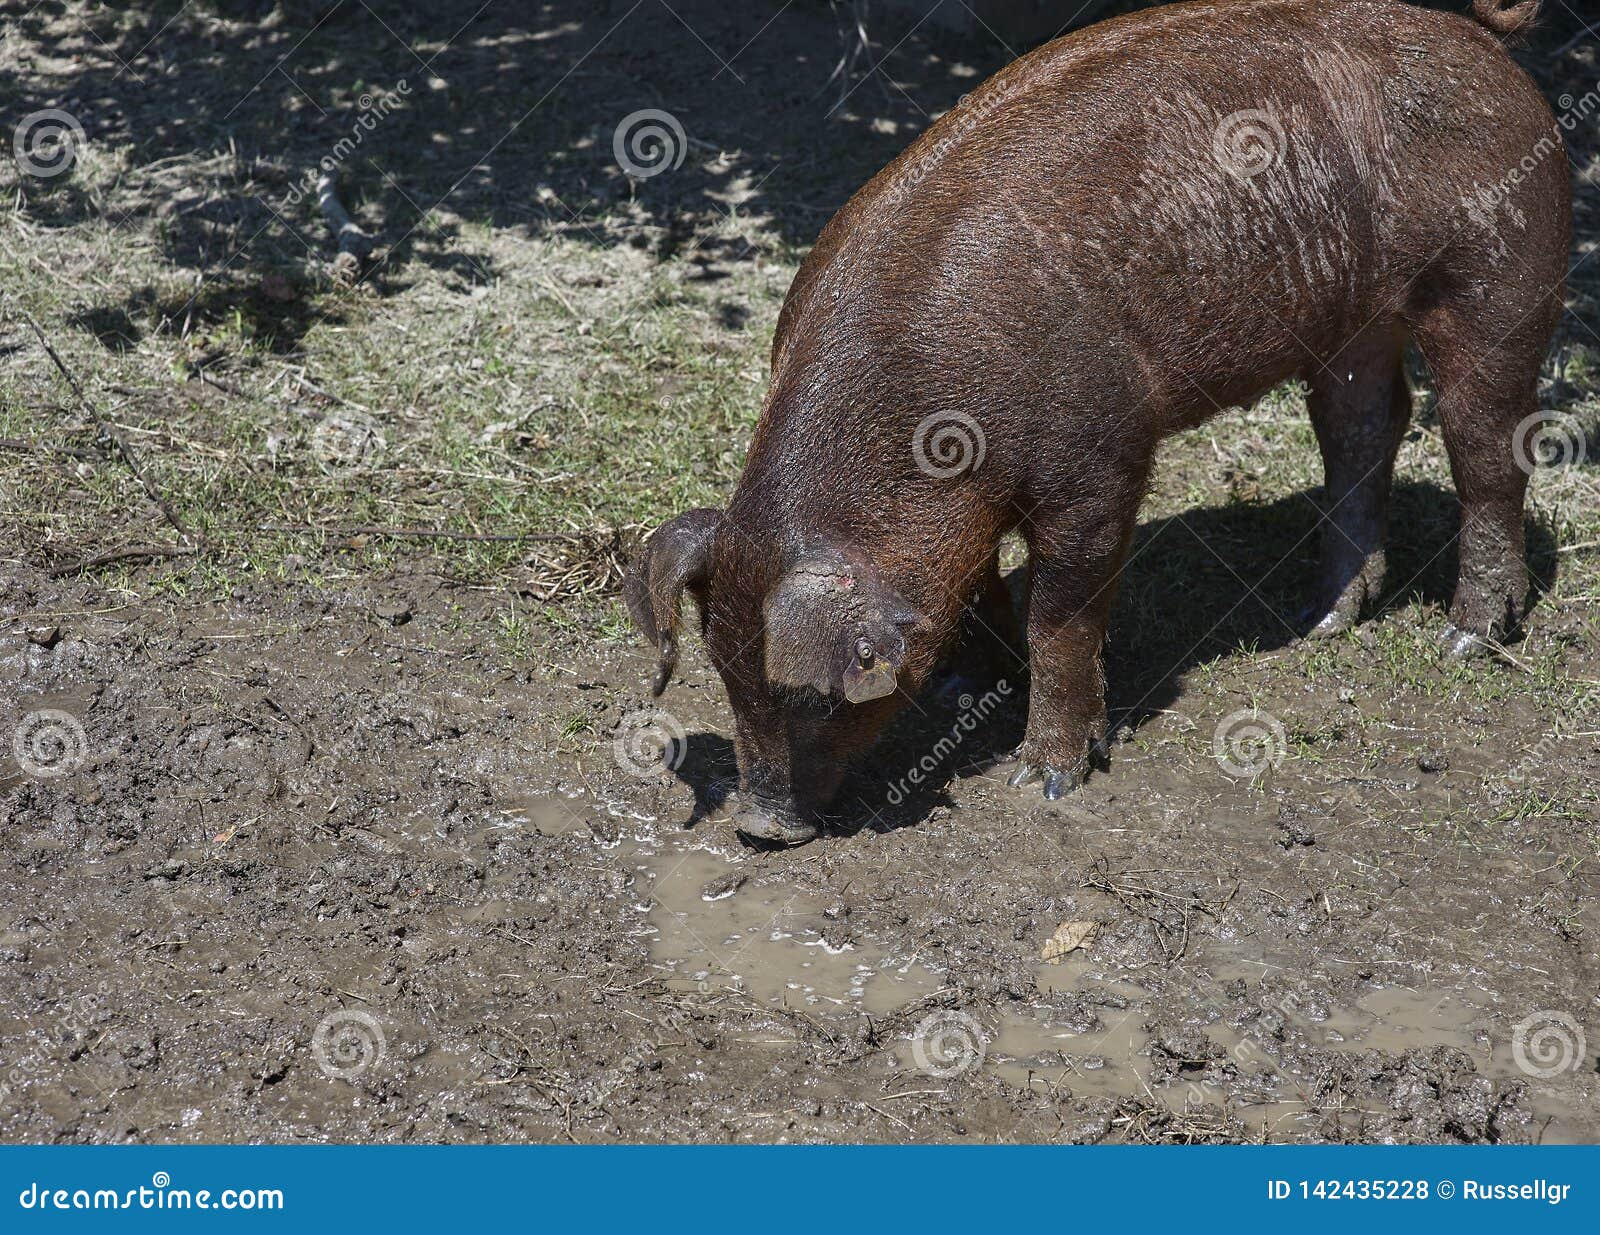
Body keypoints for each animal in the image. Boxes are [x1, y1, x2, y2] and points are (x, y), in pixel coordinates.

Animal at [626, 0, 1571, 844]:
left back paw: (1466, 638)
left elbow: (1062, 616)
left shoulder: (1102, 460)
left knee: (1486, 448)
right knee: (1364, 426)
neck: (927, 425)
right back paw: (1322, 622)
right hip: (1354, 321)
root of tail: (1486, 44)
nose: (760, 827)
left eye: (816, 693)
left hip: (1502, 278)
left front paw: (1043, 779)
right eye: (725, 669)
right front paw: (968, 690)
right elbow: (977, 584)